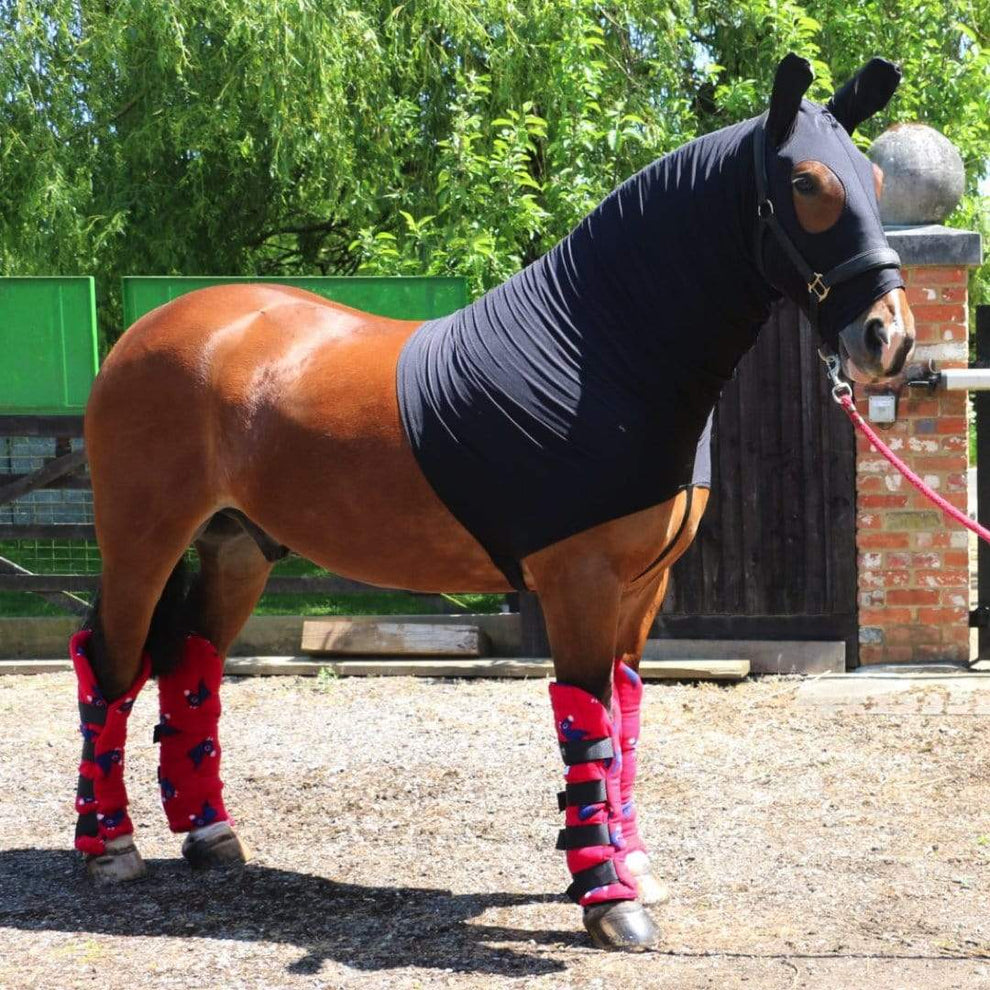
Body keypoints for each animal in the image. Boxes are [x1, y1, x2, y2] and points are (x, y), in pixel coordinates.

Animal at [70, 53, 914, 952]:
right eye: (808, 184)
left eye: (875, 178)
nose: (887, 337)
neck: (597, 353)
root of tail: (150, 331)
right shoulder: (579, 582)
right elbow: (588, 725)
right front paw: (608, 900)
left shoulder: (644, 587)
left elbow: (624, 717)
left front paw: (632, 867)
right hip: (143, 540)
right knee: (110, 663)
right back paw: (108, 846)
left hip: (237, 546)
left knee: (190, 663)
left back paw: (210, 834)